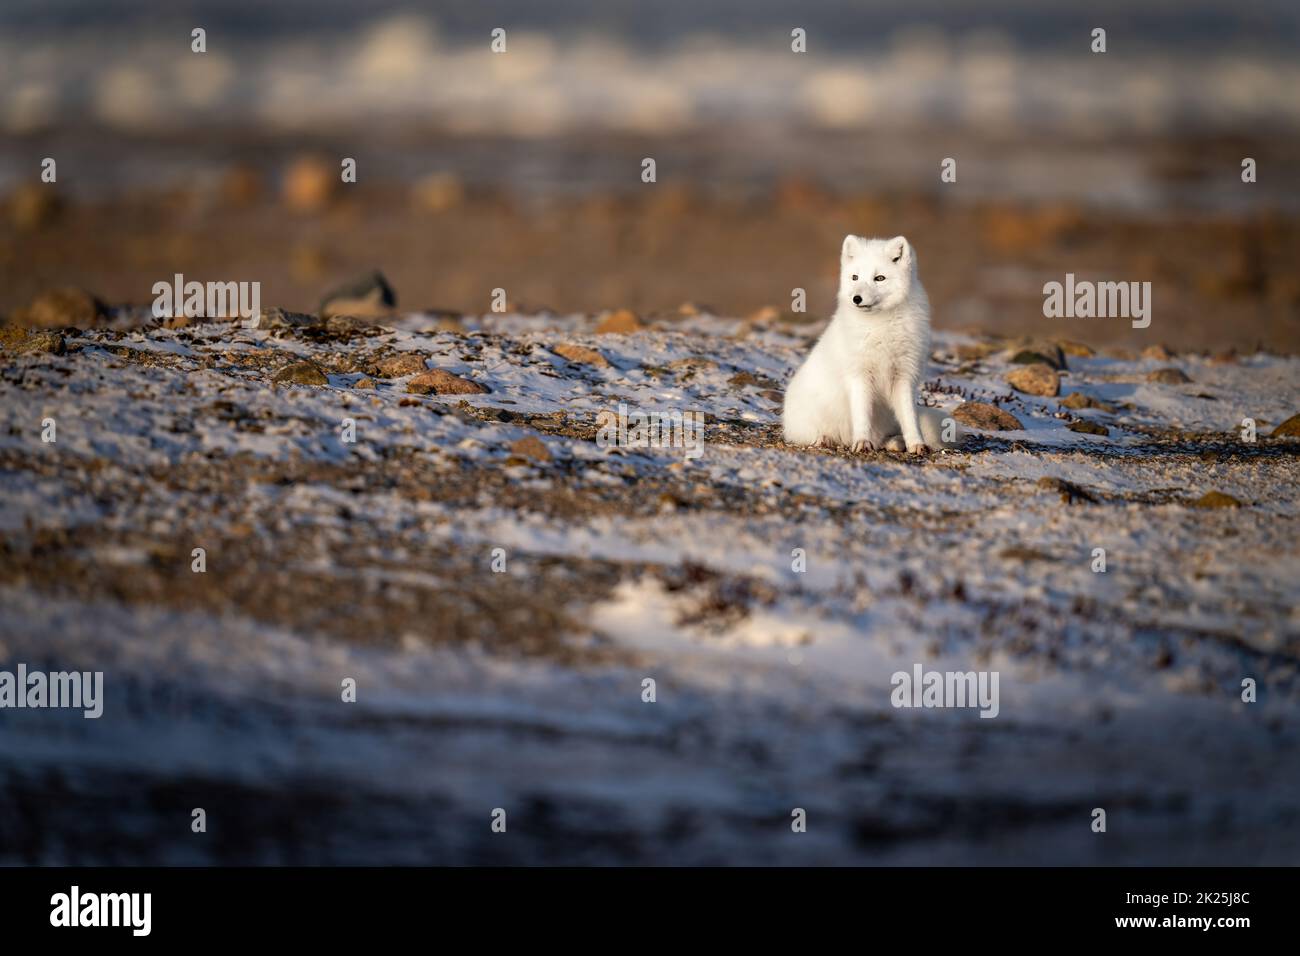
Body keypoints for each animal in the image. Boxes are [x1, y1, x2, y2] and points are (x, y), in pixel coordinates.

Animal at [782, 234, 957, 455]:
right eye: (855, 277)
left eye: (879, 278)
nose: (857, 298)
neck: (880, 327)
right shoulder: (859, 376)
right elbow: (862, 415)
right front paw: (862, 443)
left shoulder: (905, 376)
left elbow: (910, 417)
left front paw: (916, 444)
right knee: (813, 435)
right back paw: (825, 439)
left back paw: (895, 442)